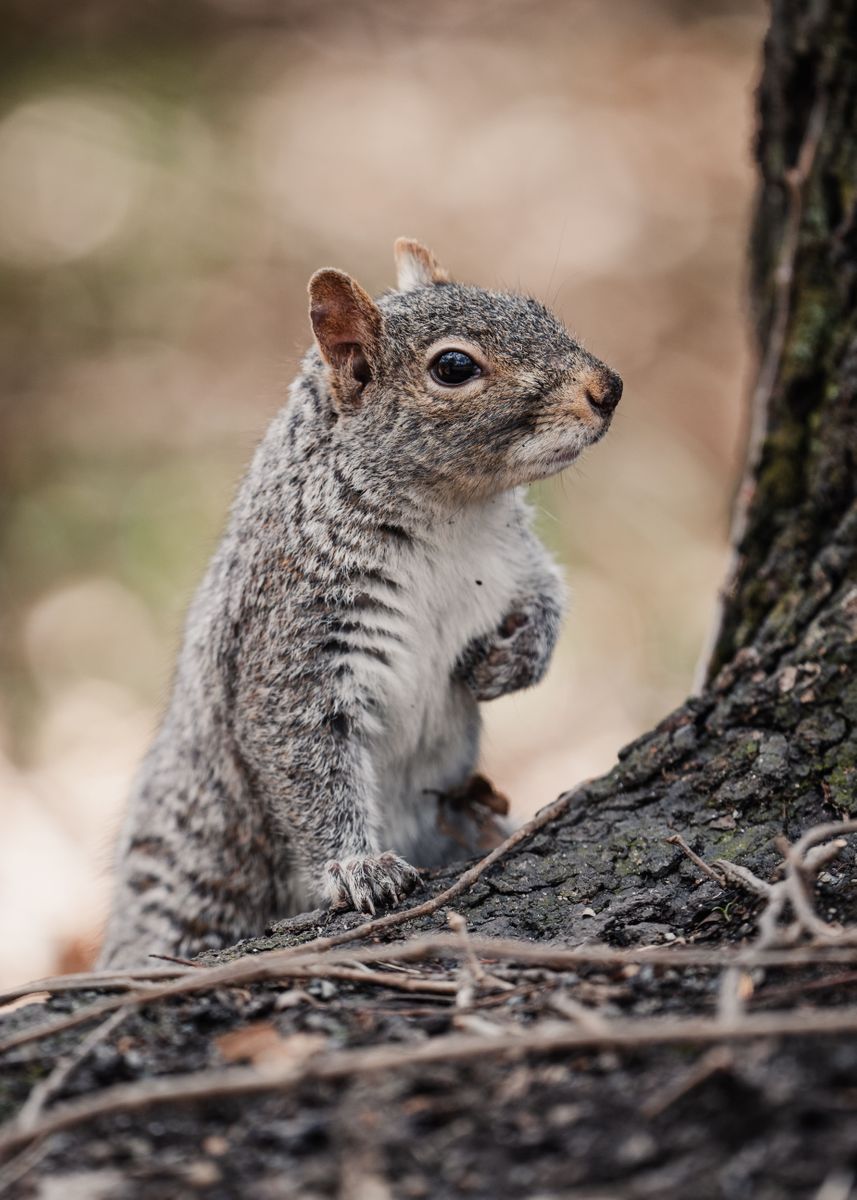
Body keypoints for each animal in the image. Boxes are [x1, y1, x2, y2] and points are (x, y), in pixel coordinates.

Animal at [99, 239, 622, 967]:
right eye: (453, 367)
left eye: (535, 308)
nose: (608, 388)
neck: (452, 518)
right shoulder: (290, 630)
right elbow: (303, 760)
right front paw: (358, 868)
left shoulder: (513, 564)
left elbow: (549, 592)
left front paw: (514, 661)